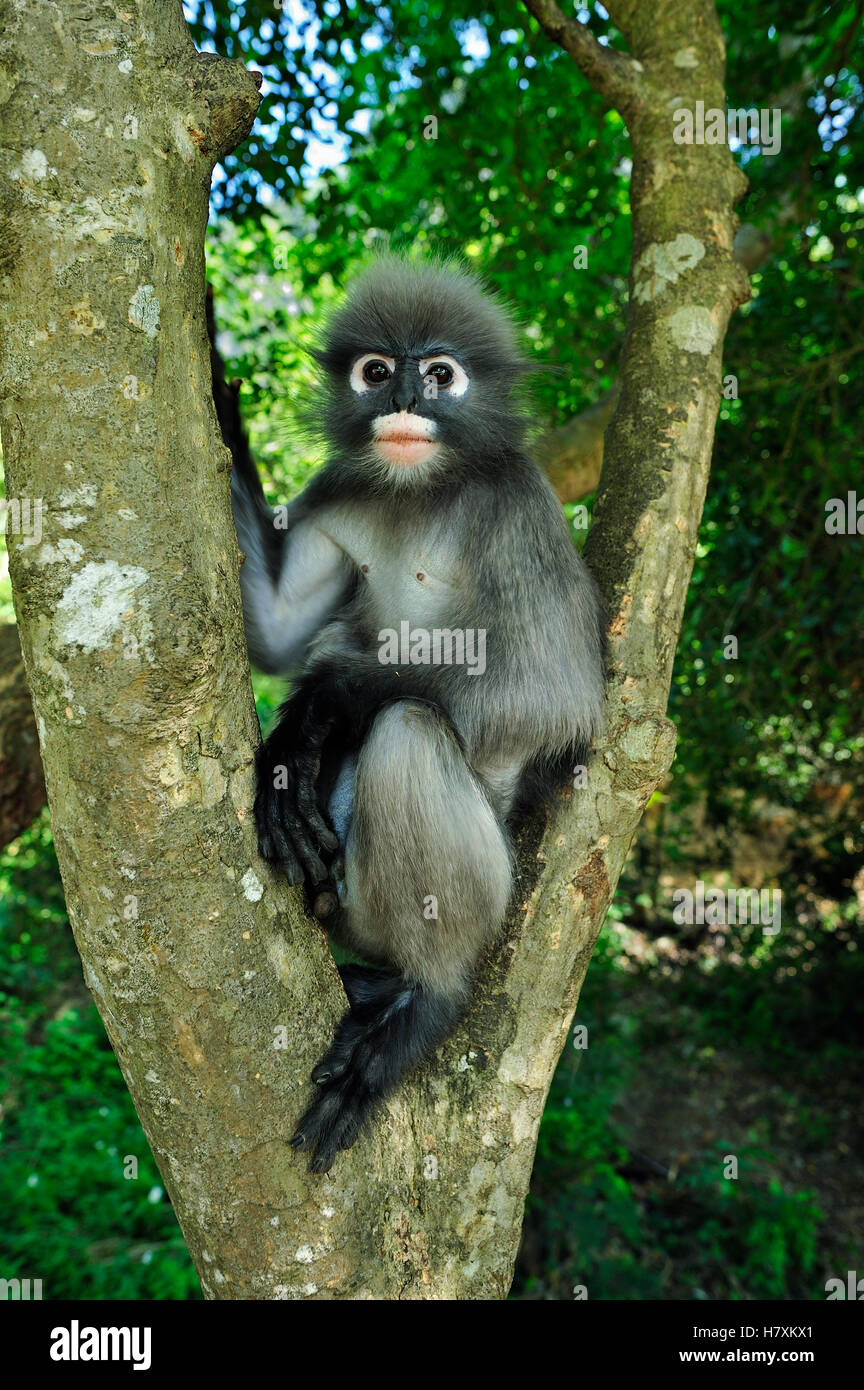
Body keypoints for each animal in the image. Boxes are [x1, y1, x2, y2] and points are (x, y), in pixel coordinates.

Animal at [222, 255, 606, 1173]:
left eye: (439, 375)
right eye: (374, 371)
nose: (402, 399)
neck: (414, 490)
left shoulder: (519, 500)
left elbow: (553, 690)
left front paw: (314, 714)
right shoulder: (341, 490)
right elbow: (279, 633)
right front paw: (218, 390)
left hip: (492, 878)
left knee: (403, 728)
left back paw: (423, 998)